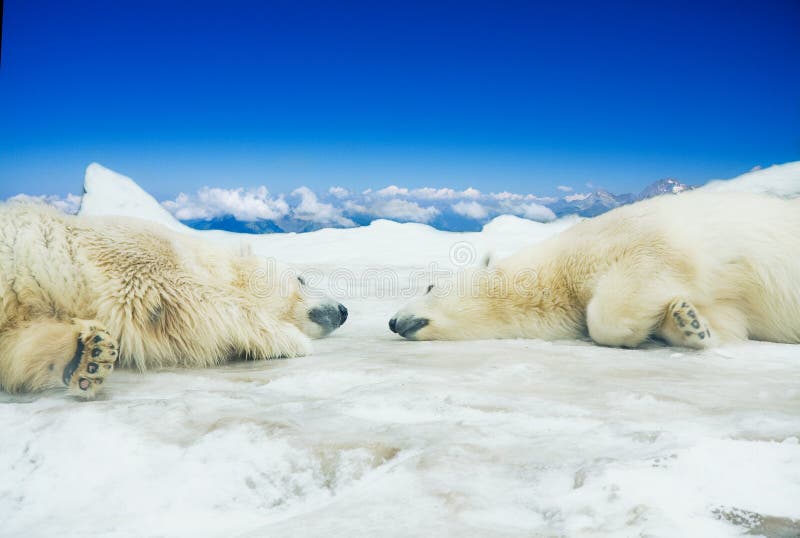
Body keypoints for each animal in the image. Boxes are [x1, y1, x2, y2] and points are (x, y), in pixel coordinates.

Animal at [0, 202, 347, 398]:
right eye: (301, 279)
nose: (343, 310)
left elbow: (20, 346)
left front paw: (87, 358)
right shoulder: (134, 255)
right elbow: (186, 294)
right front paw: (288, 338)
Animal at [389, 191, 800, 348]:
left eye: (429, 287)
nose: (392, 321)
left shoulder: (637, 237)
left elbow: (648, 264)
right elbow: (729, 320)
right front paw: (689, 322)